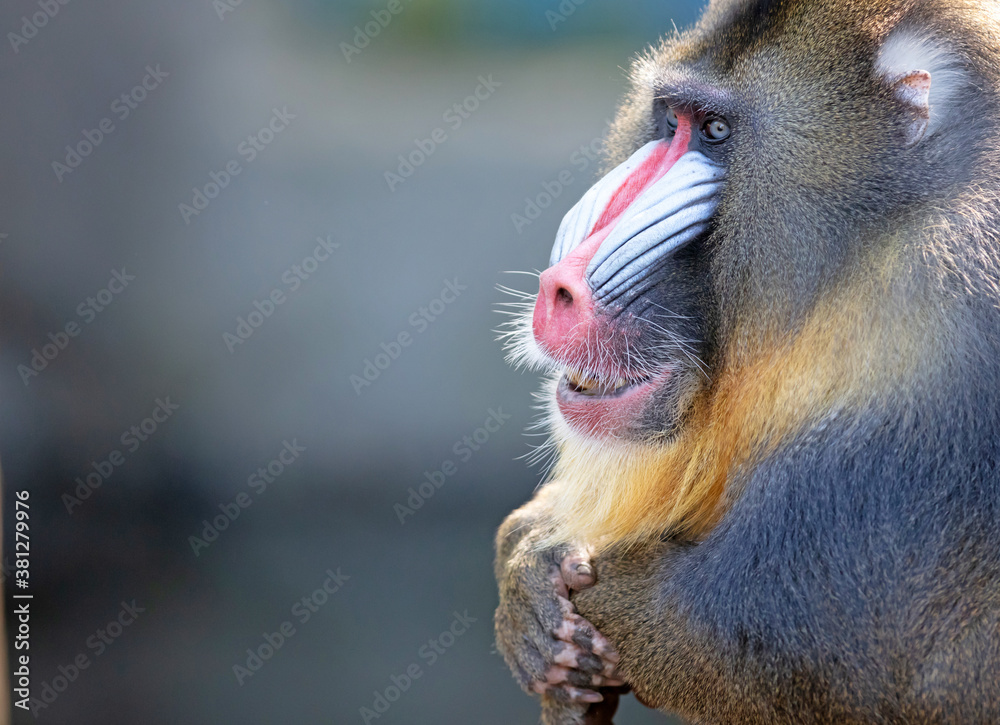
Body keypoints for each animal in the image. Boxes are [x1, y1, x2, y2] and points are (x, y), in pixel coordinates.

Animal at [494, 1, 1000, 723]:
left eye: (716, 131)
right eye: (671, 121)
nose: (558, 289)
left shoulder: (945, 336)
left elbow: (732, 632)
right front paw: (533, 572)